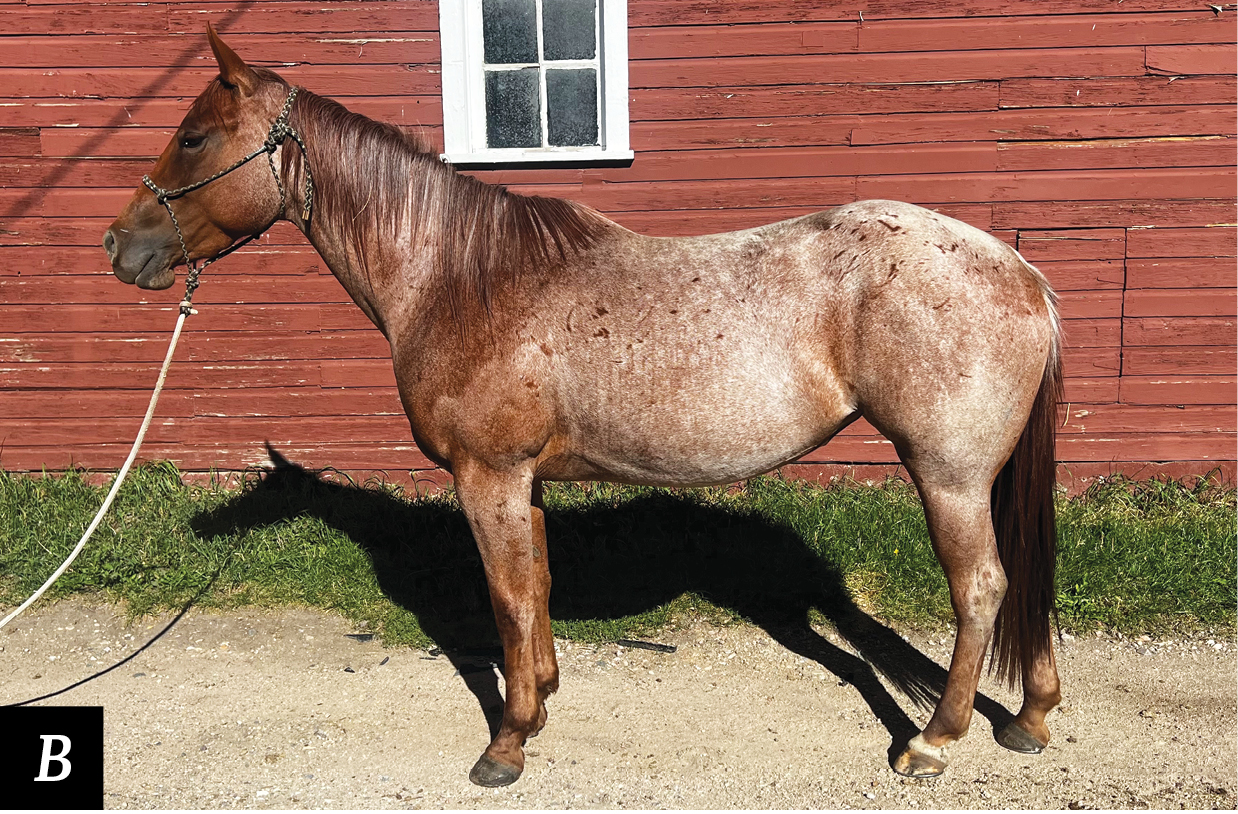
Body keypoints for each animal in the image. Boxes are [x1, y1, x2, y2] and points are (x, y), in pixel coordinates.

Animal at [103, 27, 1063, 787]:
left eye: (192, 137)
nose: (121, 245)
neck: (461, 278)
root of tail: (1022, 274)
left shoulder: (487, 477)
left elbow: (504, 599)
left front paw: (506, 744)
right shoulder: (521, 481)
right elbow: (536, 586)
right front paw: (542, 701)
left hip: (947, 475)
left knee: (981, 589)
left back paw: (933, 742)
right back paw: (1029, 717)